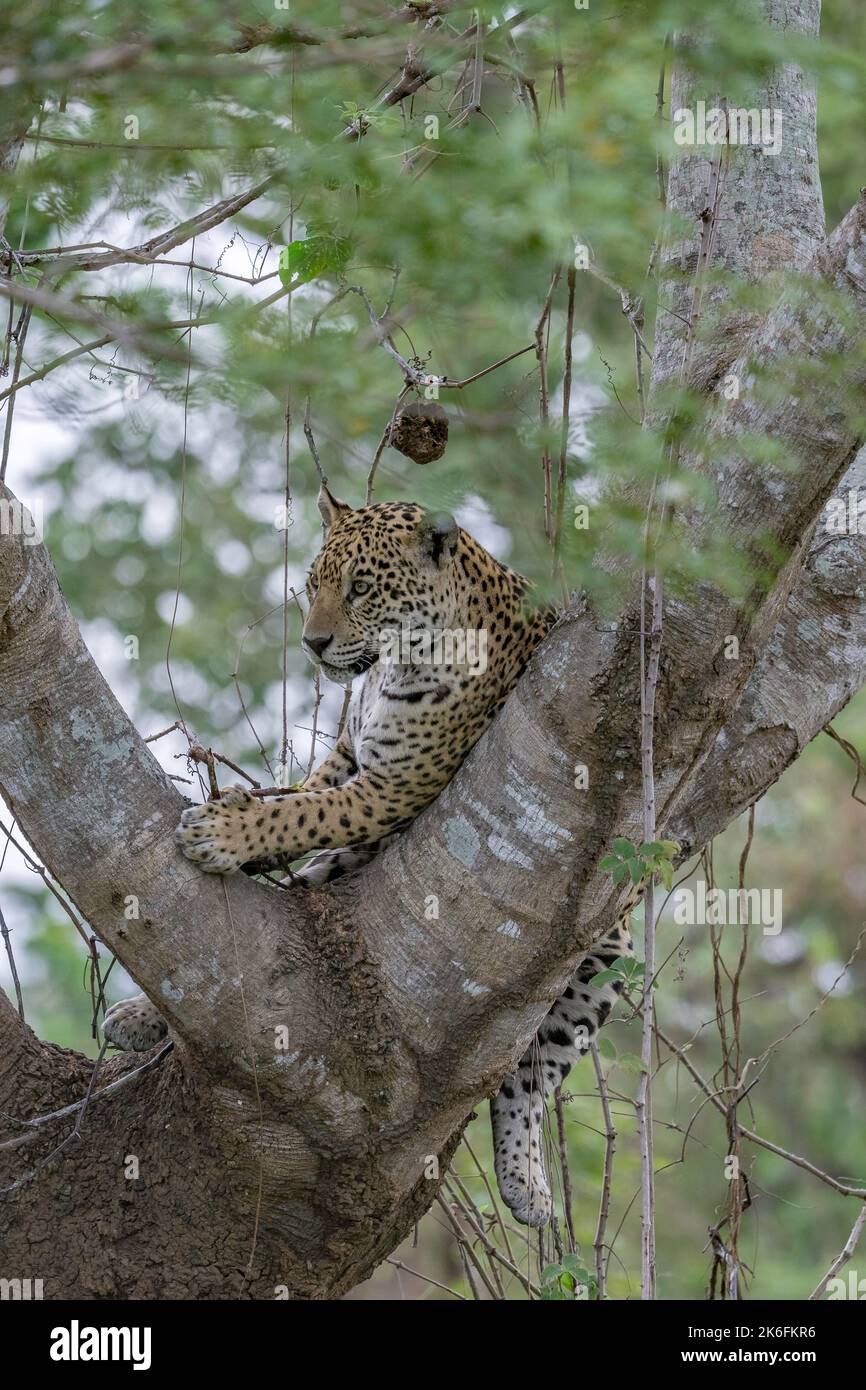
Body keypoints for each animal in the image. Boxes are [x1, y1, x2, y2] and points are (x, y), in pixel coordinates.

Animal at [103, 485, 634, 1227]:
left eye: (360, 587)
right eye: (312, 585)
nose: (312, 643)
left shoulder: (389, 788)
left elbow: (299, 814)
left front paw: (225, 833)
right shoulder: (348, 759)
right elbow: (293, 798)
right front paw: (235, 815)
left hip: (604, 960)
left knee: (527, 1076)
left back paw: (526, 1181)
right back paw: (138, 1016)